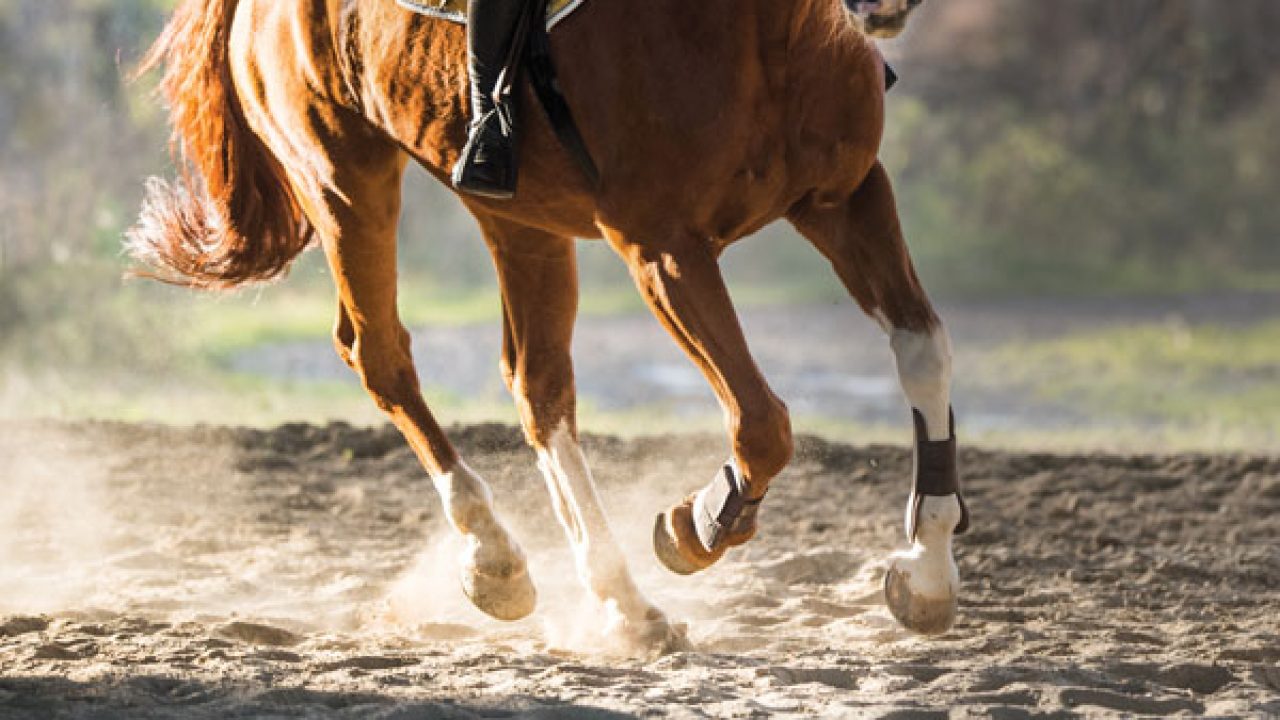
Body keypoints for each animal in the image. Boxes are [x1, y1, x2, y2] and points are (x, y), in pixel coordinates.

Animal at [128, 0, 966, 652]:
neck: (765, 31)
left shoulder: (846, 198)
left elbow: (924, 351)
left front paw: (926, 571)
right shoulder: (662, 248)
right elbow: (762, 423)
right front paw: (695, 524)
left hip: (515, 218)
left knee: (537, 389)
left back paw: (618, 602)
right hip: (343, 181)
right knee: (381, 357)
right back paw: (497, 557)